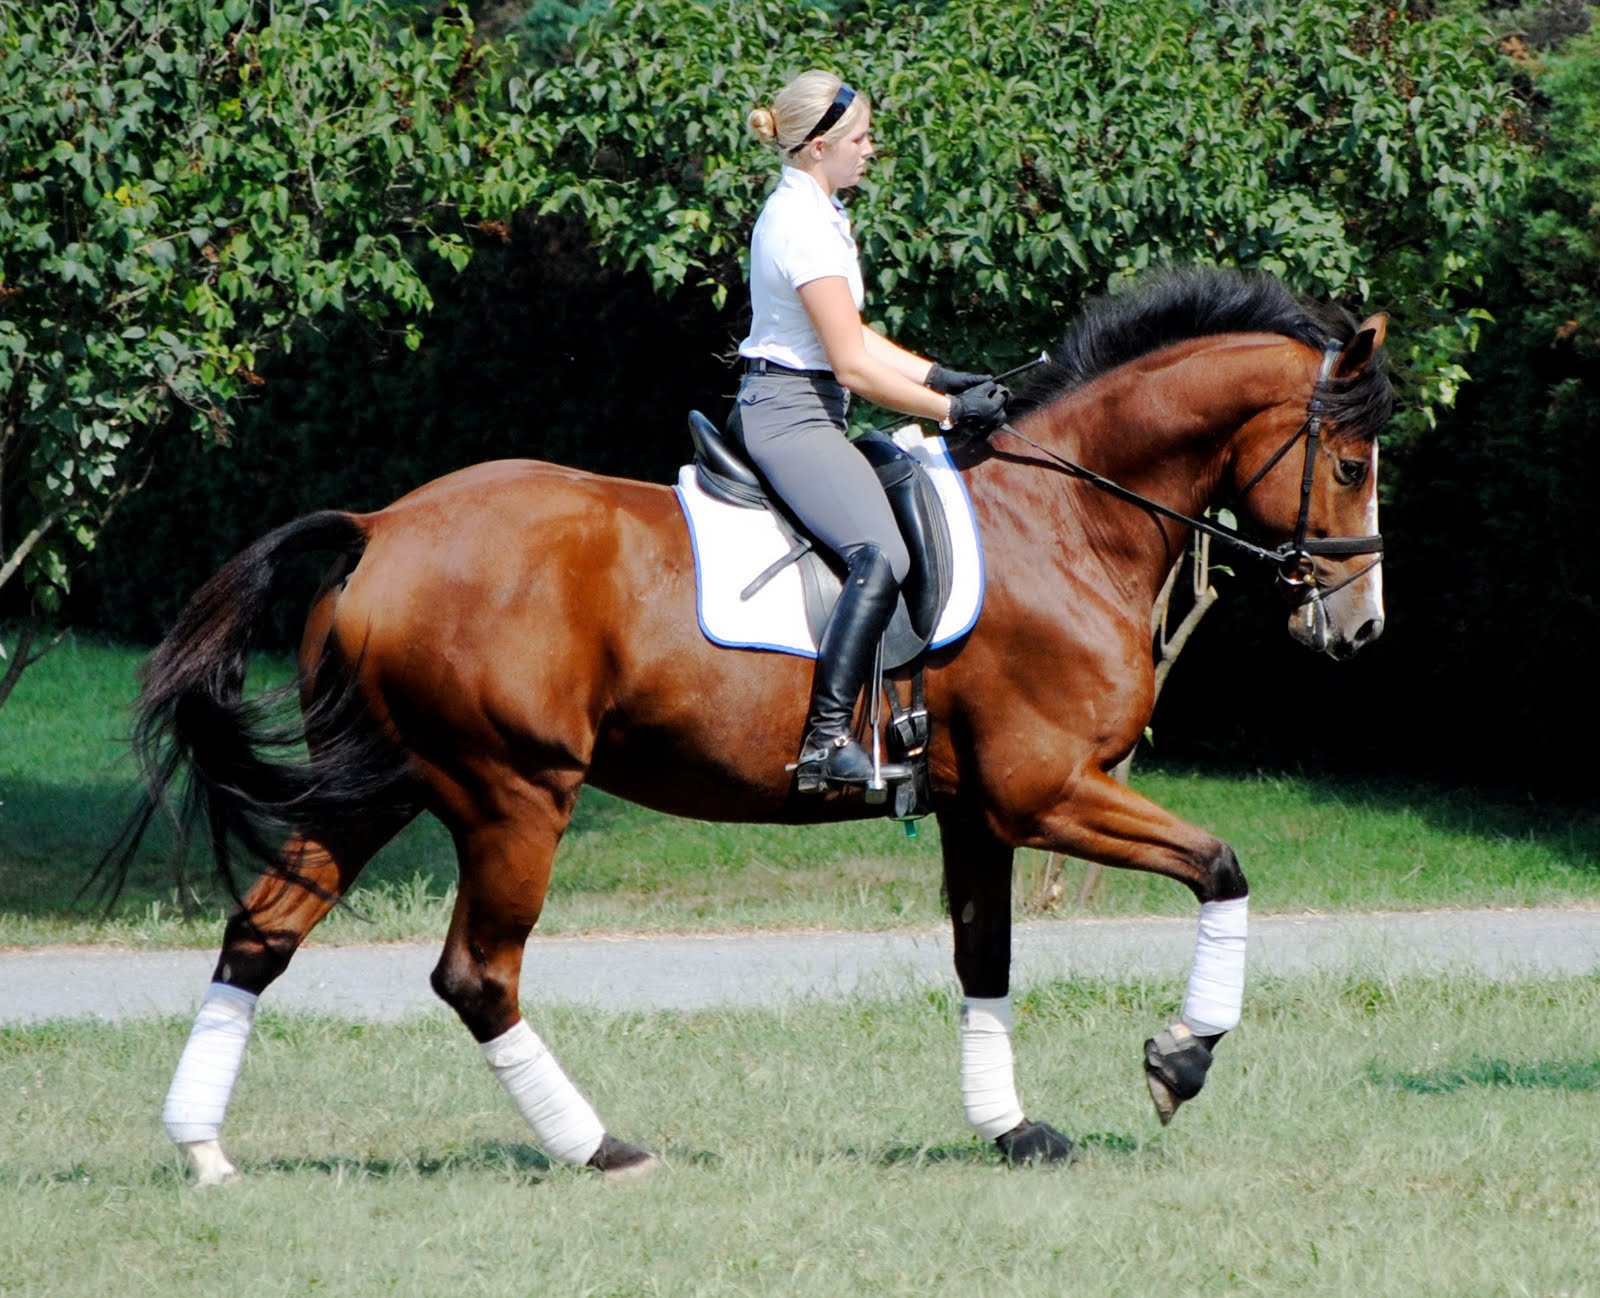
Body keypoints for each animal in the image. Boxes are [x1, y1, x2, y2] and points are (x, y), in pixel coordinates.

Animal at [116, 267, 1391, 1184]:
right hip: (511, 793)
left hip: (377, 782)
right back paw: (598, 1146)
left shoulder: (979, 810)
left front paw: (1012, 1126)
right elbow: (1221, 865)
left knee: (260, 933)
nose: (1360, 625)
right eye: (1347, 461)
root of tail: (382, 527)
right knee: (476, 972)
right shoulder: (1046, 791)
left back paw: (202, 1148)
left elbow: (985, 956)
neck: (1066, 519)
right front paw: (1180, 1056)